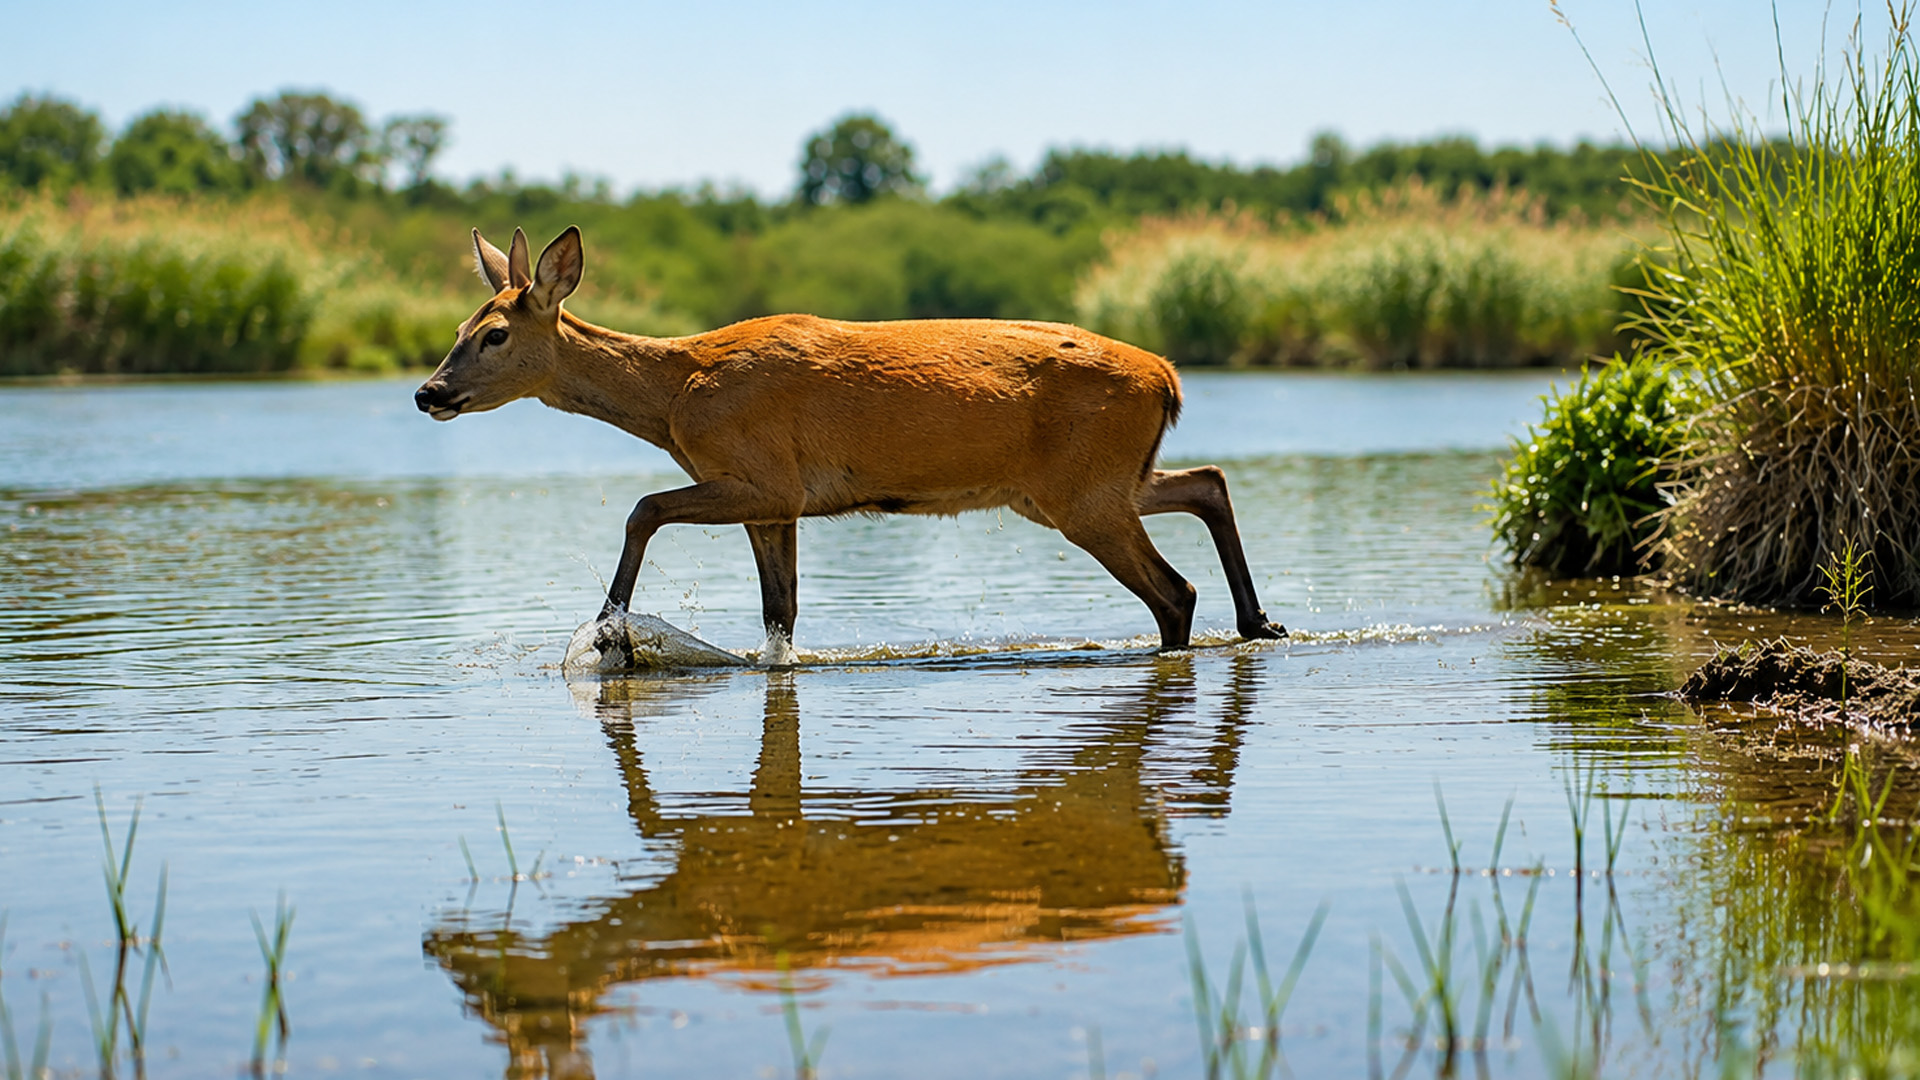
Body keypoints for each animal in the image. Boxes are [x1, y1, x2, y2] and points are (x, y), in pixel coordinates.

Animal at [413, 225, 1287, 660]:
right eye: (455, 327)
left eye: (493, 334)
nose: (428, 392)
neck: (675, 397)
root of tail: (1167, 376)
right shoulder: (775, 503)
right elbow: (781, 613)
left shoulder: (764, 475)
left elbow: (643, 506)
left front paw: (608, 634)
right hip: (1082, 484)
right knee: (1207, 481)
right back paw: (1260, 622)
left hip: (1081, 491)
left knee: (1174, 591)